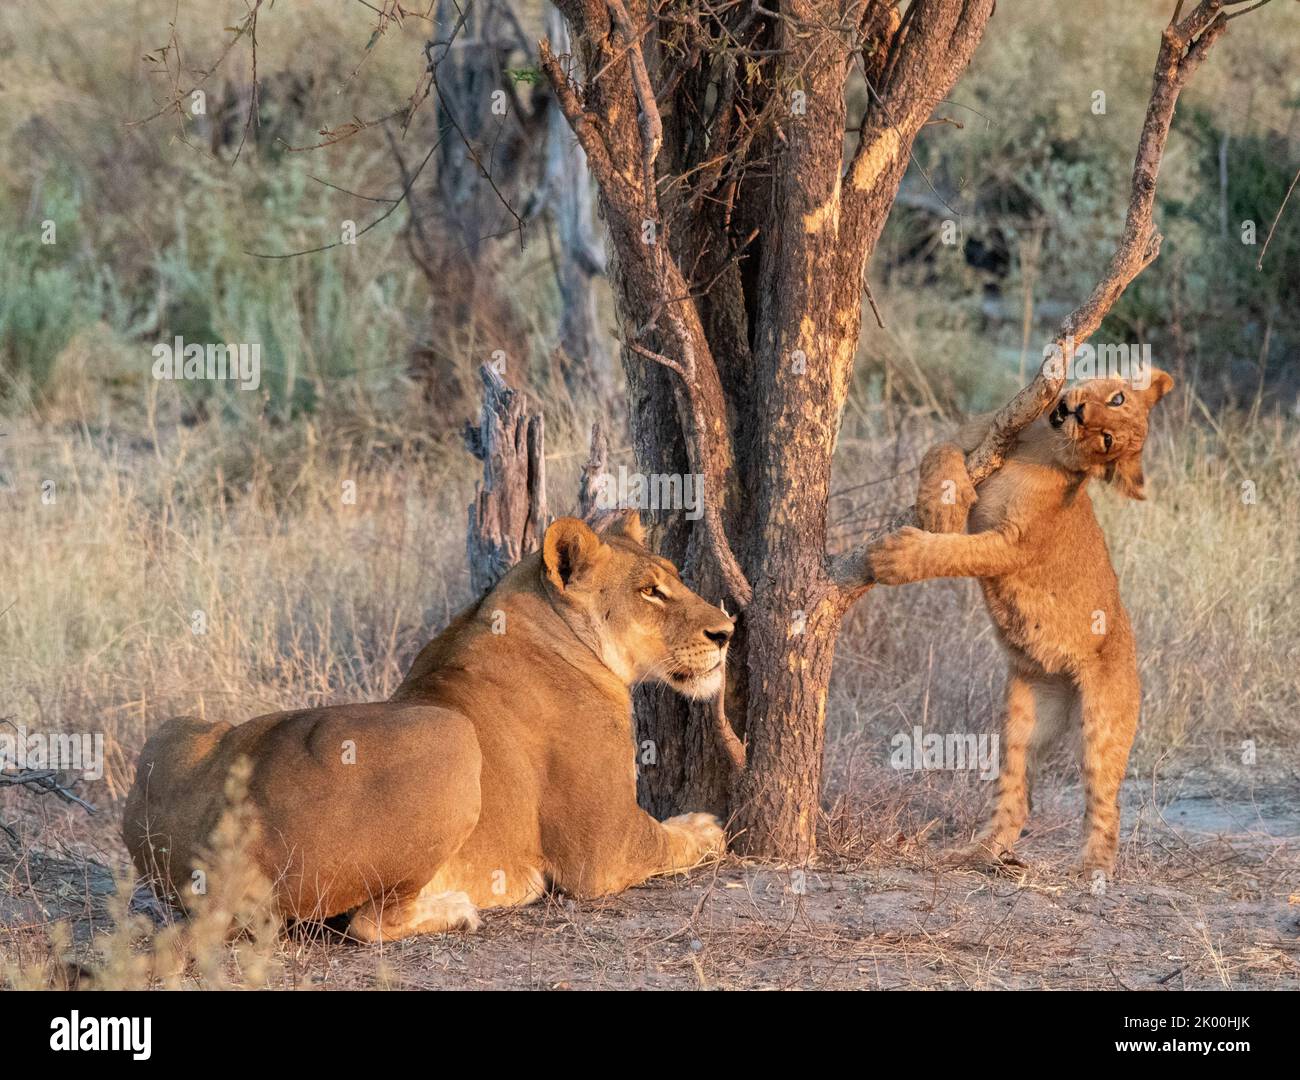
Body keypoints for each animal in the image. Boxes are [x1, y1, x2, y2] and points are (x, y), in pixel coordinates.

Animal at [122, 512, 733, 941]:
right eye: (649, 591)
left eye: (676, 579)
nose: (726, 632)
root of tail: (224, 864)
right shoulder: (602, 850)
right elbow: (671, 838)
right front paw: (707, 827)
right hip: (452, 737)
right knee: (368, 924)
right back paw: (463, 907)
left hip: (174, 731)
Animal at [870, 368, 1174, 877]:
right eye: (1115, 398)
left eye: (1107, 440)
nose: (1079, 413)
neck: (1043, 445)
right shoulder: (978, 433)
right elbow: (939, 451)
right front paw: (941, 505)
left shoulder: (1012, 545)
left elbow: (953, 553)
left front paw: (895, 557)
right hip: (1023, 717)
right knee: (1016, 798)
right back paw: (976, 854)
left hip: (1103, 721)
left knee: (1106, 803)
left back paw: (1093, 870)